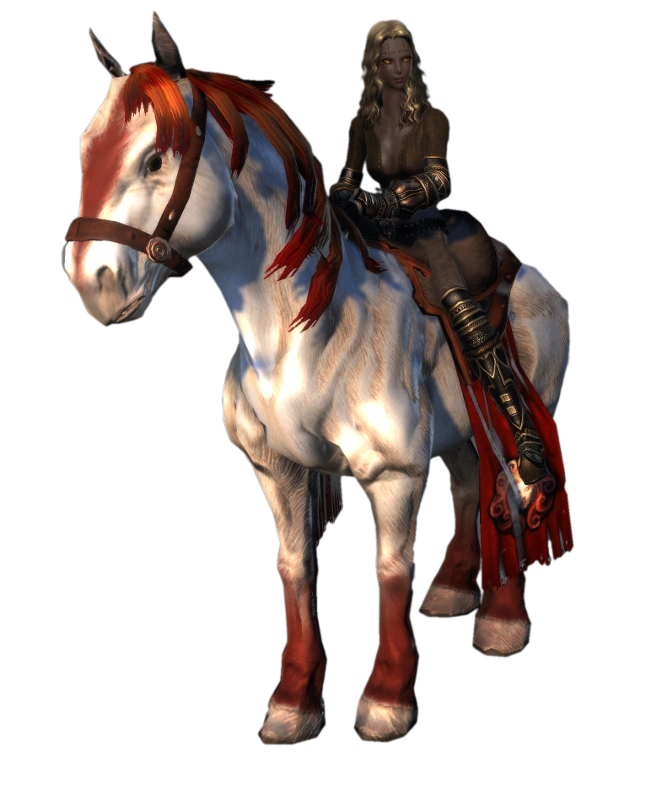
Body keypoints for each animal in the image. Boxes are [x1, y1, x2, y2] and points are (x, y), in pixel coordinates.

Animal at [65, 13, 573, 745]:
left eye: (156, 159)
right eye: (89, 148)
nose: (94, 284)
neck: (302, 329)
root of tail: (533, 275)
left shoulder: (392, 473)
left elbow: (390, 571)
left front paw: (387, 700)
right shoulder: (278, 469)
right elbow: (296, 567)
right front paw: (293, 704)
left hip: (526, 404)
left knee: (510, 477)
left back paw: (502, 621)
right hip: (455, 427)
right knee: (470, 480)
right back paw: (455, 588)